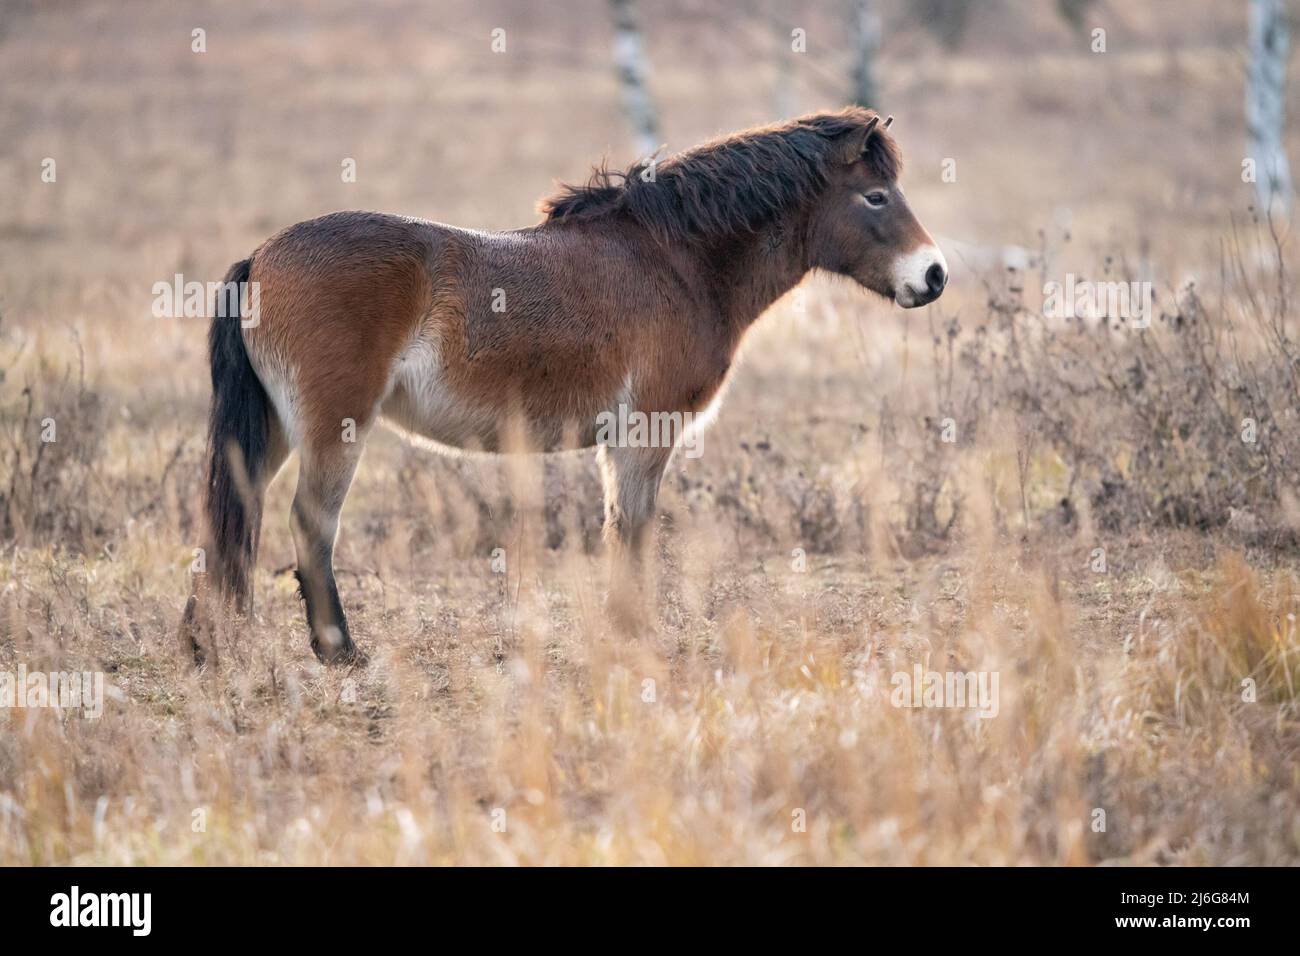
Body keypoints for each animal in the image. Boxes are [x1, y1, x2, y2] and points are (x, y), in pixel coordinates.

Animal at [179, 106, 947, 665]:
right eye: (876, 197)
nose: (934, 275)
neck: (674, 261)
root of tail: (262, 257)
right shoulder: (645, 433)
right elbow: (632, 528)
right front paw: (634, 633)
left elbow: (619, 527)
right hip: (334, 428)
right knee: (312, 523)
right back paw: (338, 652)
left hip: (276, 429)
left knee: (231, 510)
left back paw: (204, 642)